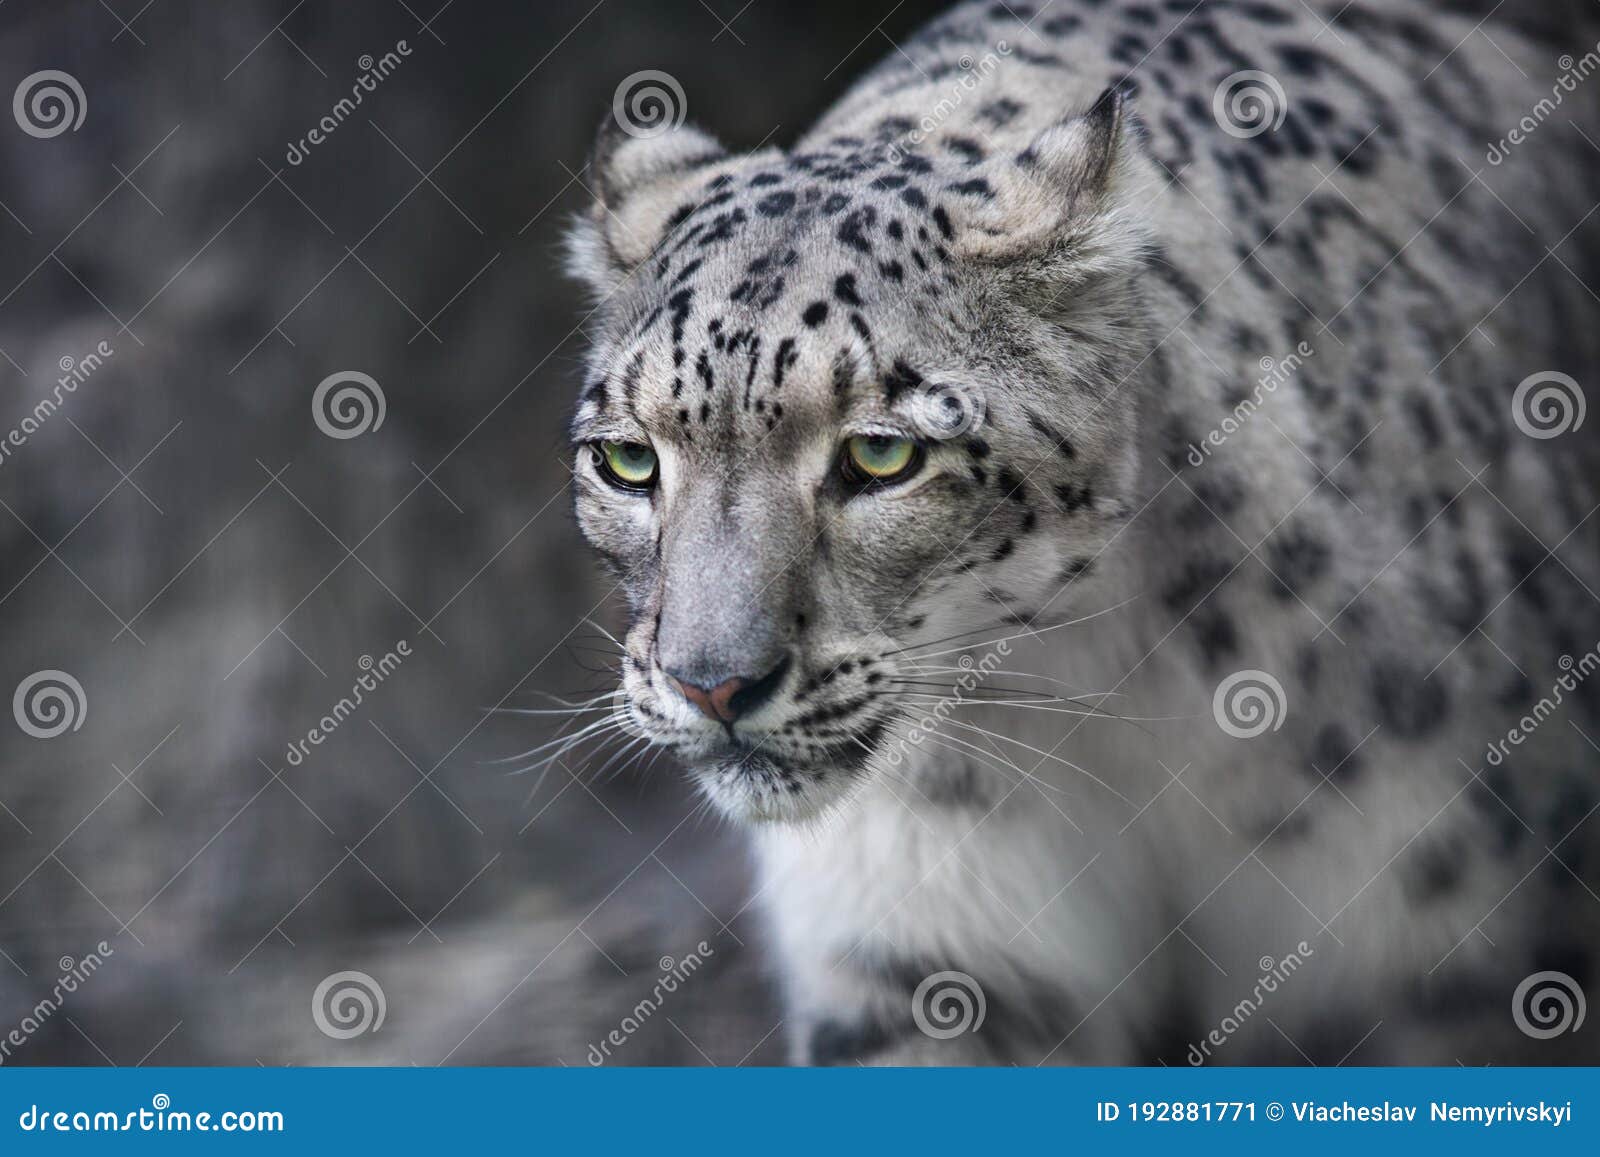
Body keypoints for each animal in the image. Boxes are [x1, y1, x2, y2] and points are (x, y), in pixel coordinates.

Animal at [561, 0, 1600, 1065]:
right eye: (629, 460)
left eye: (883, 455)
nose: (713, 683)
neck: (1091, 697)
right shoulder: (920, 950)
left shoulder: (1444, 958)